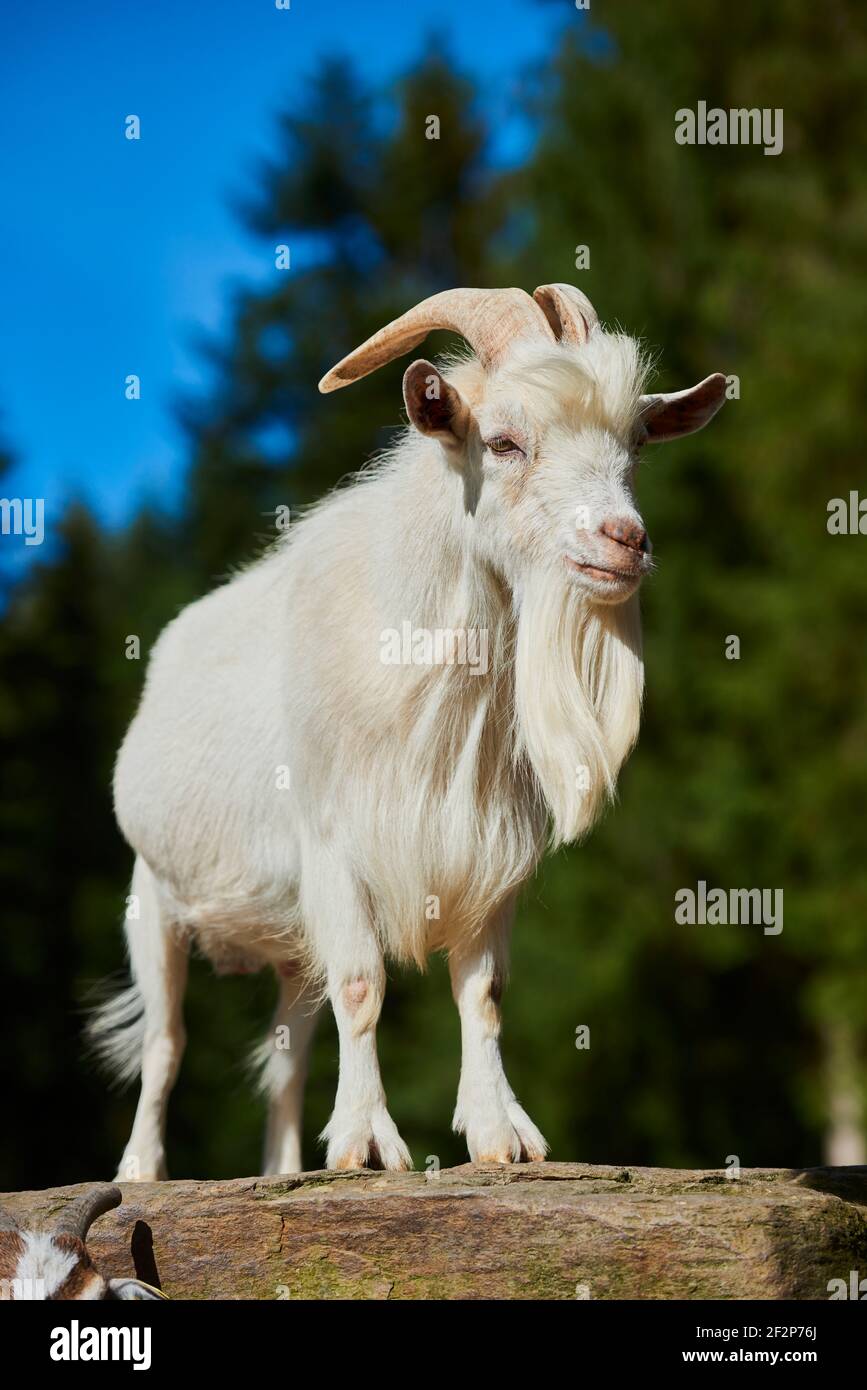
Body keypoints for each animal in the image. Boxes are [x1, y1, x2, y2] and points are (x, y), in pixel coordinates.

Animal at [90, 284, 727, 1177]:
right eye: (502, 440)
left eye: (635, 442)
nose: (623, 540)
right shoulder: (333, 845)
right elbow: (363, 986)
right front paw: (367, 1144)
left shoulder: (492, 859)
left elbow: (481, 993)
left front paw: (499, 1136)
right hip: (152, 899)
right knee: (166, 1040)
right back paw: (142, 1170)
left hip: (288, 941)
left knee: (286, 1053)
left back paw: (283, 1170)